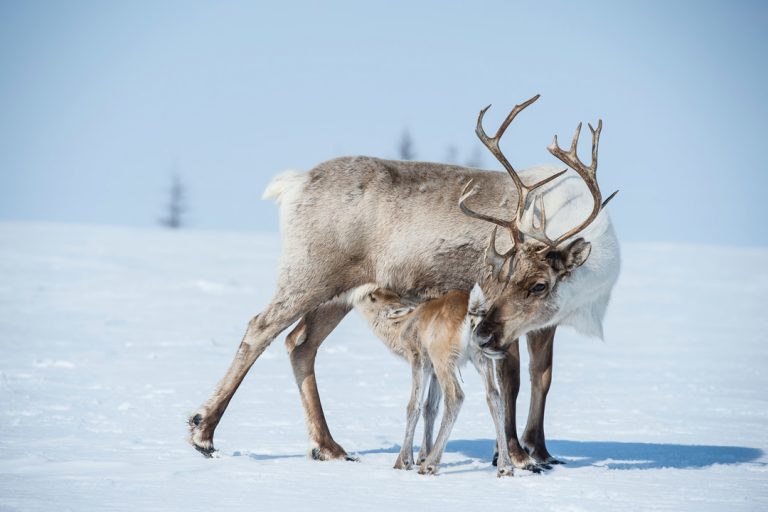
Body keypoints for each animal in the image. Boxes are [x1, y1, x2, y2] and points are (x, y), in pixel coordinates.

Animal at [351, 284, 513, 476]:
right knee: (494, 396)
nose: (355, 294)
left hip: (442, 356)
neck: (401, 328)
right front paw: (421, 455)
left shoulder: (419, 358)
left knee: (455, 396)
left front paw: (404, 461)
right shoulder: (434, 371)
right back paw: (505, 466)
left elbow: (414, 406)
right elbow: (430, 408)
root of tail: (473, 312)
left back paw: (430, 464)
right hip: (481, 356)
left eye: (372, 297)